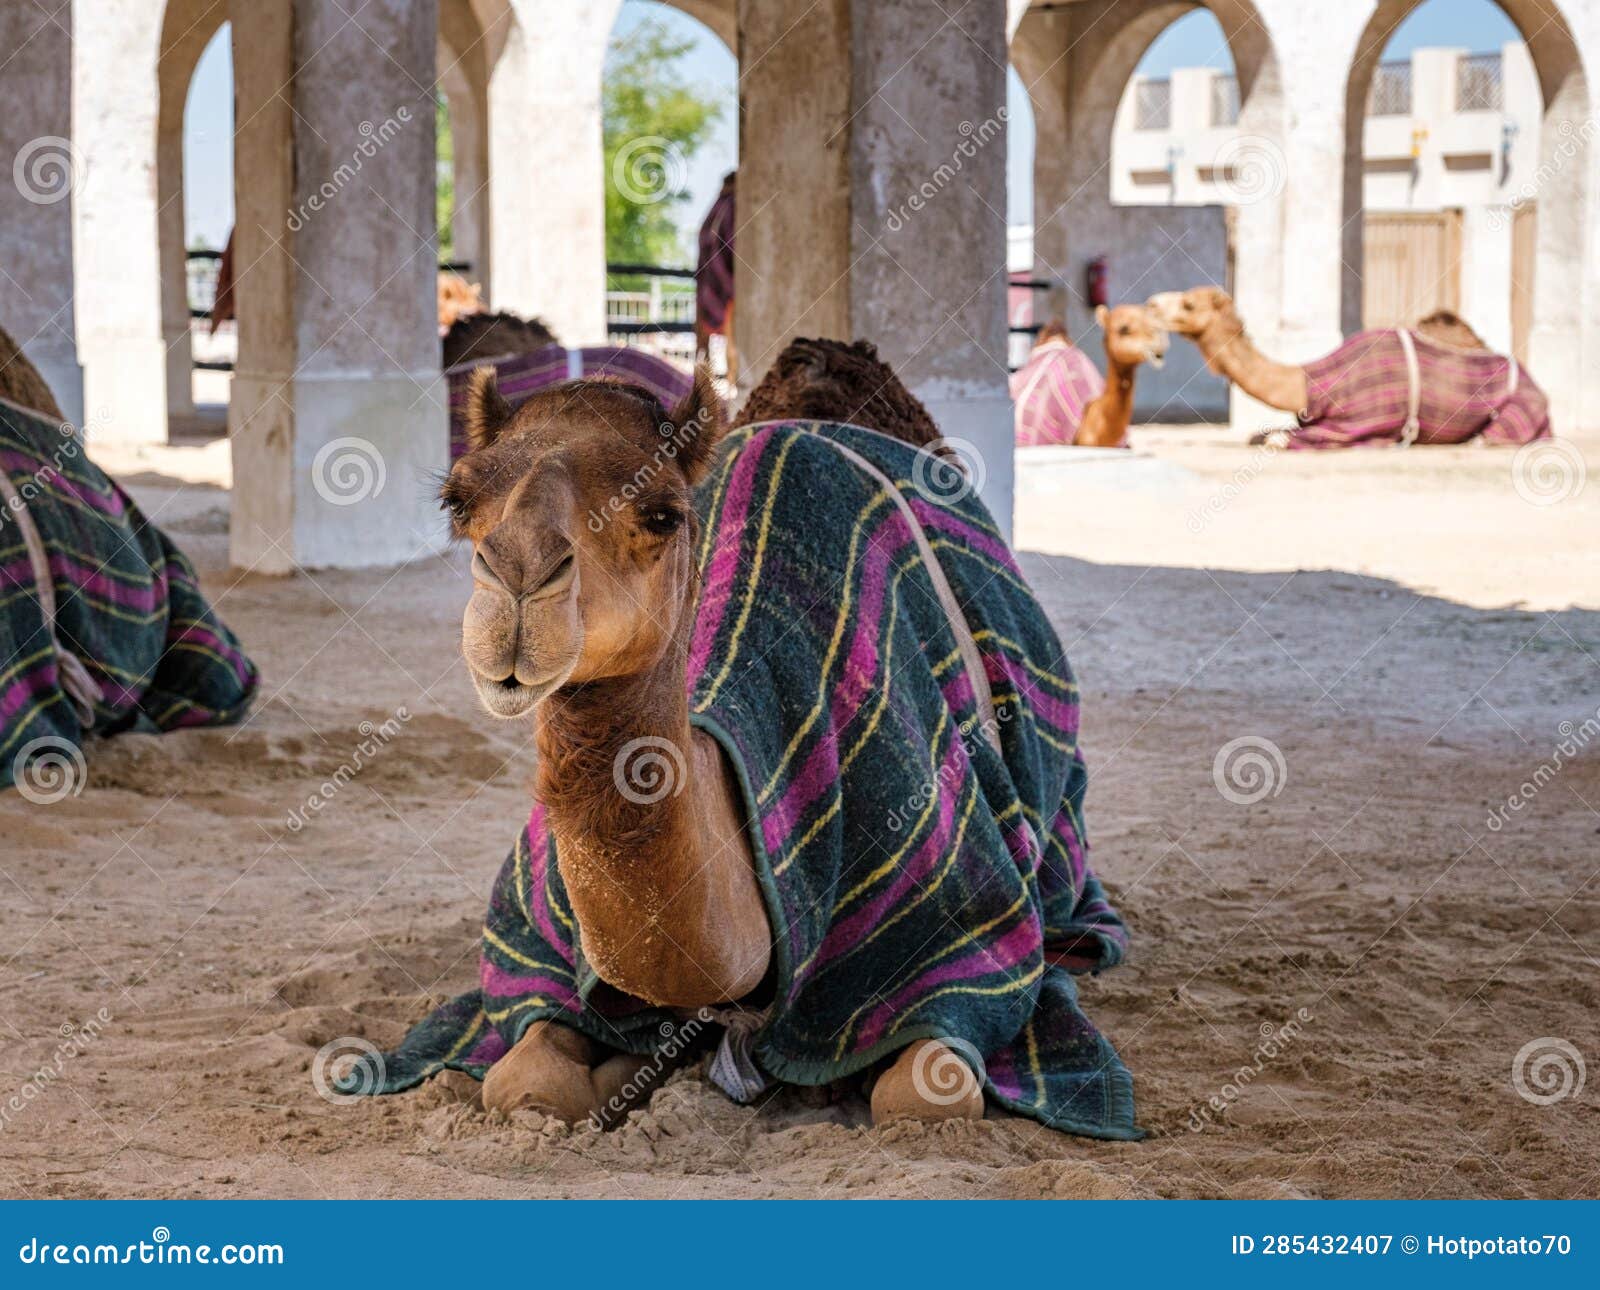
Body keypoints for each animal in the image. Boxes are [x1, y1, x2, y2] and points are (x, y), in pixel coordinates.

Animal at [1147, 287, 1551, 448]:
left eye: (1189, 304)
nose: (1151, 304)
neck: (1311, 383)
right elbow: (1260, 435)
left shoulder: (1358, 425)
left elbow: (1281, 439)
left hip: (1524, 409)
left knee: (1493, 436)